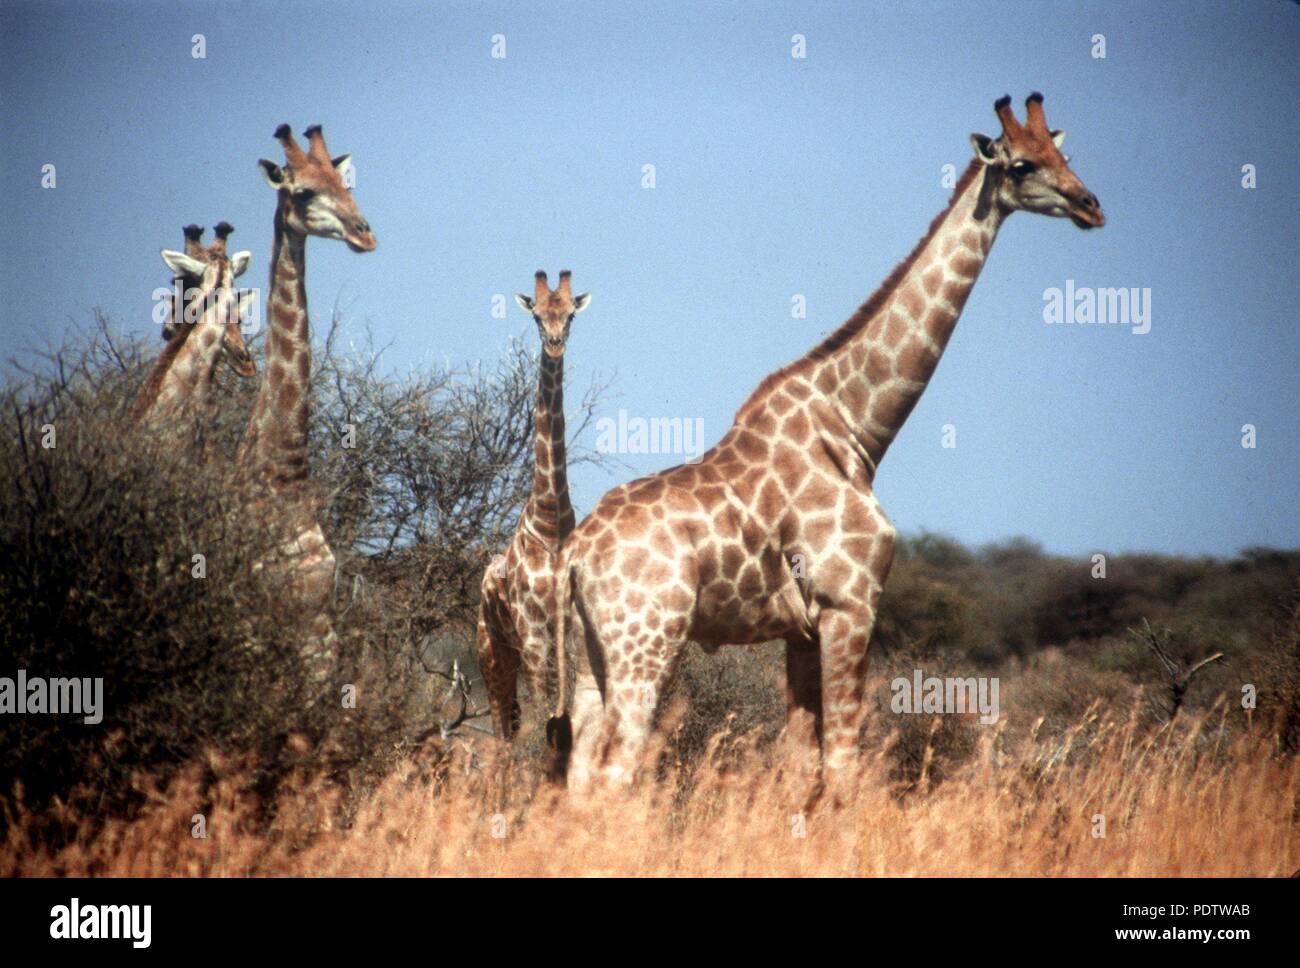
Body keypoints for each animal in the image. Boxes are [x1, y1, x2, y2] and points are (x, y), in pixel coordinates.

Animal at [547, 94, 1104, 793]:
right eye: (1024, 164)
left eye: (1065, 153)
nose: (1091, 205)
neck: (855, 427)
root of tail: (573, 556)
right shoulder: (850, 604)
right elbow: (842, 765)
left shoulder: (801, 631)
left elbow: (796, 764)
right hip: (644, 643)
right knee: (617, 771)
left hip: (591, 653)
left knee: (579, 775)